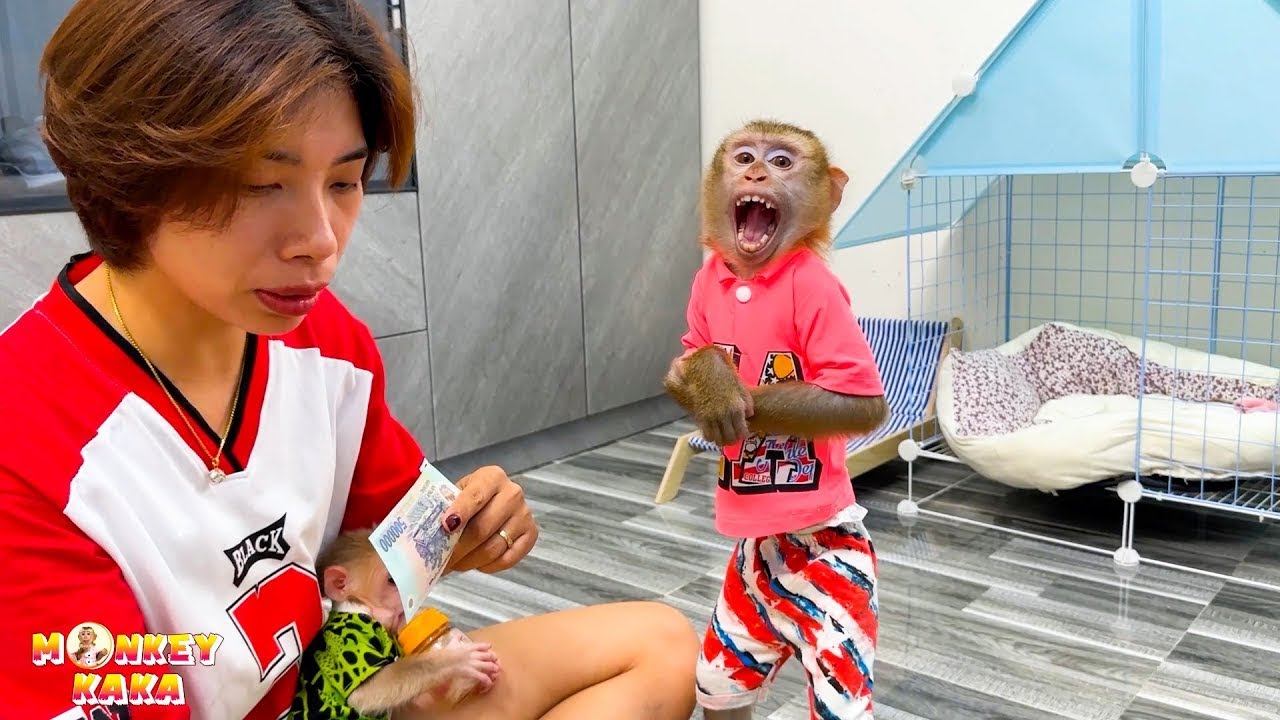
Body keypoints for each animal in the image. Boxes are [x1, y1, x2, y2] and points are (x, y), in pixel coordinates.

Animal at [288, 528, 500, 719]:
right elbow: (367, 692)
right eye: (392, 581)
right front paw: (457, 659)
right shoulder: (351, 634)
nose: (412, 602)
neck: (360, 608)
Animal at [665, 119, 887, 720]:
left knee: (840, 688)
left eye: (783, 162)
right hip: (743, 612)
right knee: (722, 677)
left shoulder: (821, 296)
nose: (757, 175)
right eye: (745, 157)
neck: (753, 274)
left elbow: (862, 406)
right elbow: (686, 358)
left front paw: (721, 394)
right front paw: (703, 374)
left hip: (835, 601)